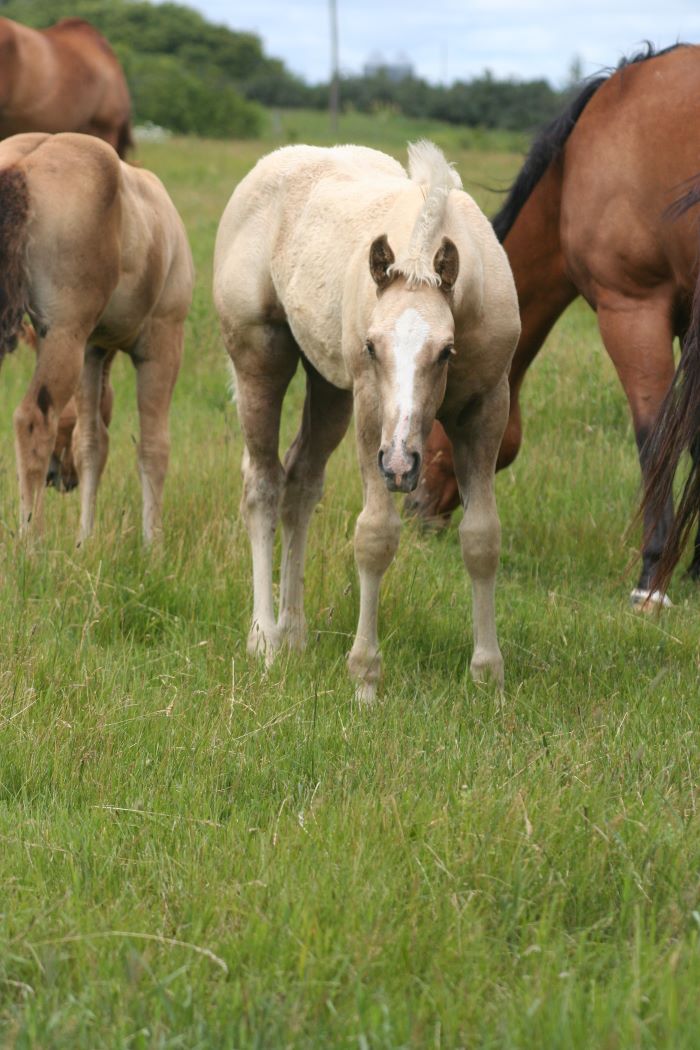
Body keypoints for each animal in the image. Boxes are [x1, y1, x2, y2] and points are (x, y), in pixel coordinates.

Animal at [0, 132, 194, 543]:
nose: (57, 478)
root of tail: (21, 164)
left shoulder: (91, 352)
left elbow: (92, 444)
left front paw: (84, 541)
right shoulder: (162, 344)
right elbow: (154, 448)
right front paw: (154, 546)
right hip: (64, 338)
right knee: (32, 420)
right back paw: (32, 543)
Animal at [213, 142, 520, 700]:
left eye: (446, 351)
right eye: (374, 348)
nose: (400, 464)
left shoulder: (487, 408)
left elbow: (482, 538)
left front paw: (488, 675)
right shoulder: (371, 409)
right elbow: (375, 536)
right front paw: (365, 678)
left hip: (328, 386)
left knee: (300, 484)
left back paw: (294, 632)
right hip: (260, 360)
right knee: (263, 485)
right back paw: (264, 639)